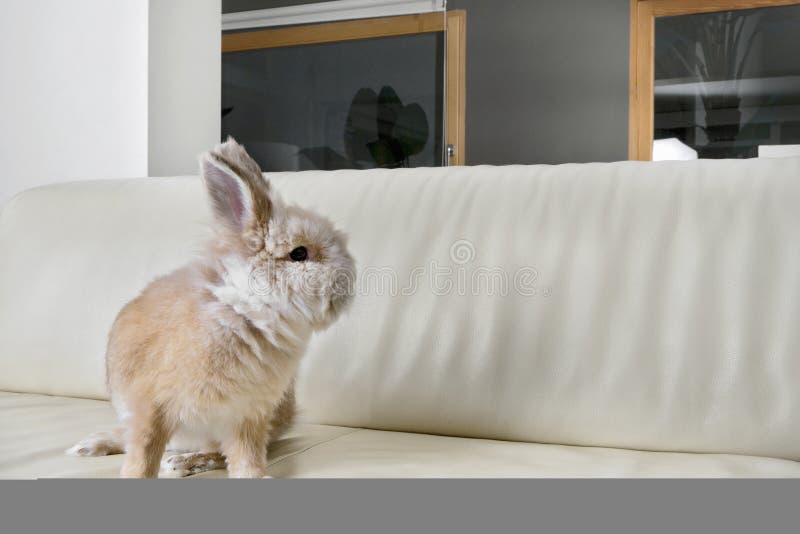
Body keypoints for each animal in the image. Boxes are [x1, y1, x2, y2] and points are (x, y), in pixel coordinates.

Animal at [66, 138, 355, 478]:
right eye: (299, 253)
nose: (349, 281)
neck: (248, 312)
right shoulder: (150, 406)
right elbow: (143, 453)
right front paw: (136, 476)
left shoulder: (248, 415)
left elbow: (246, 455)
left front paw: (258, 477)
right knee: (130, 438)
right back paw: (90, 445)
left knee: (215, 452)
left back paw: (182, 462)